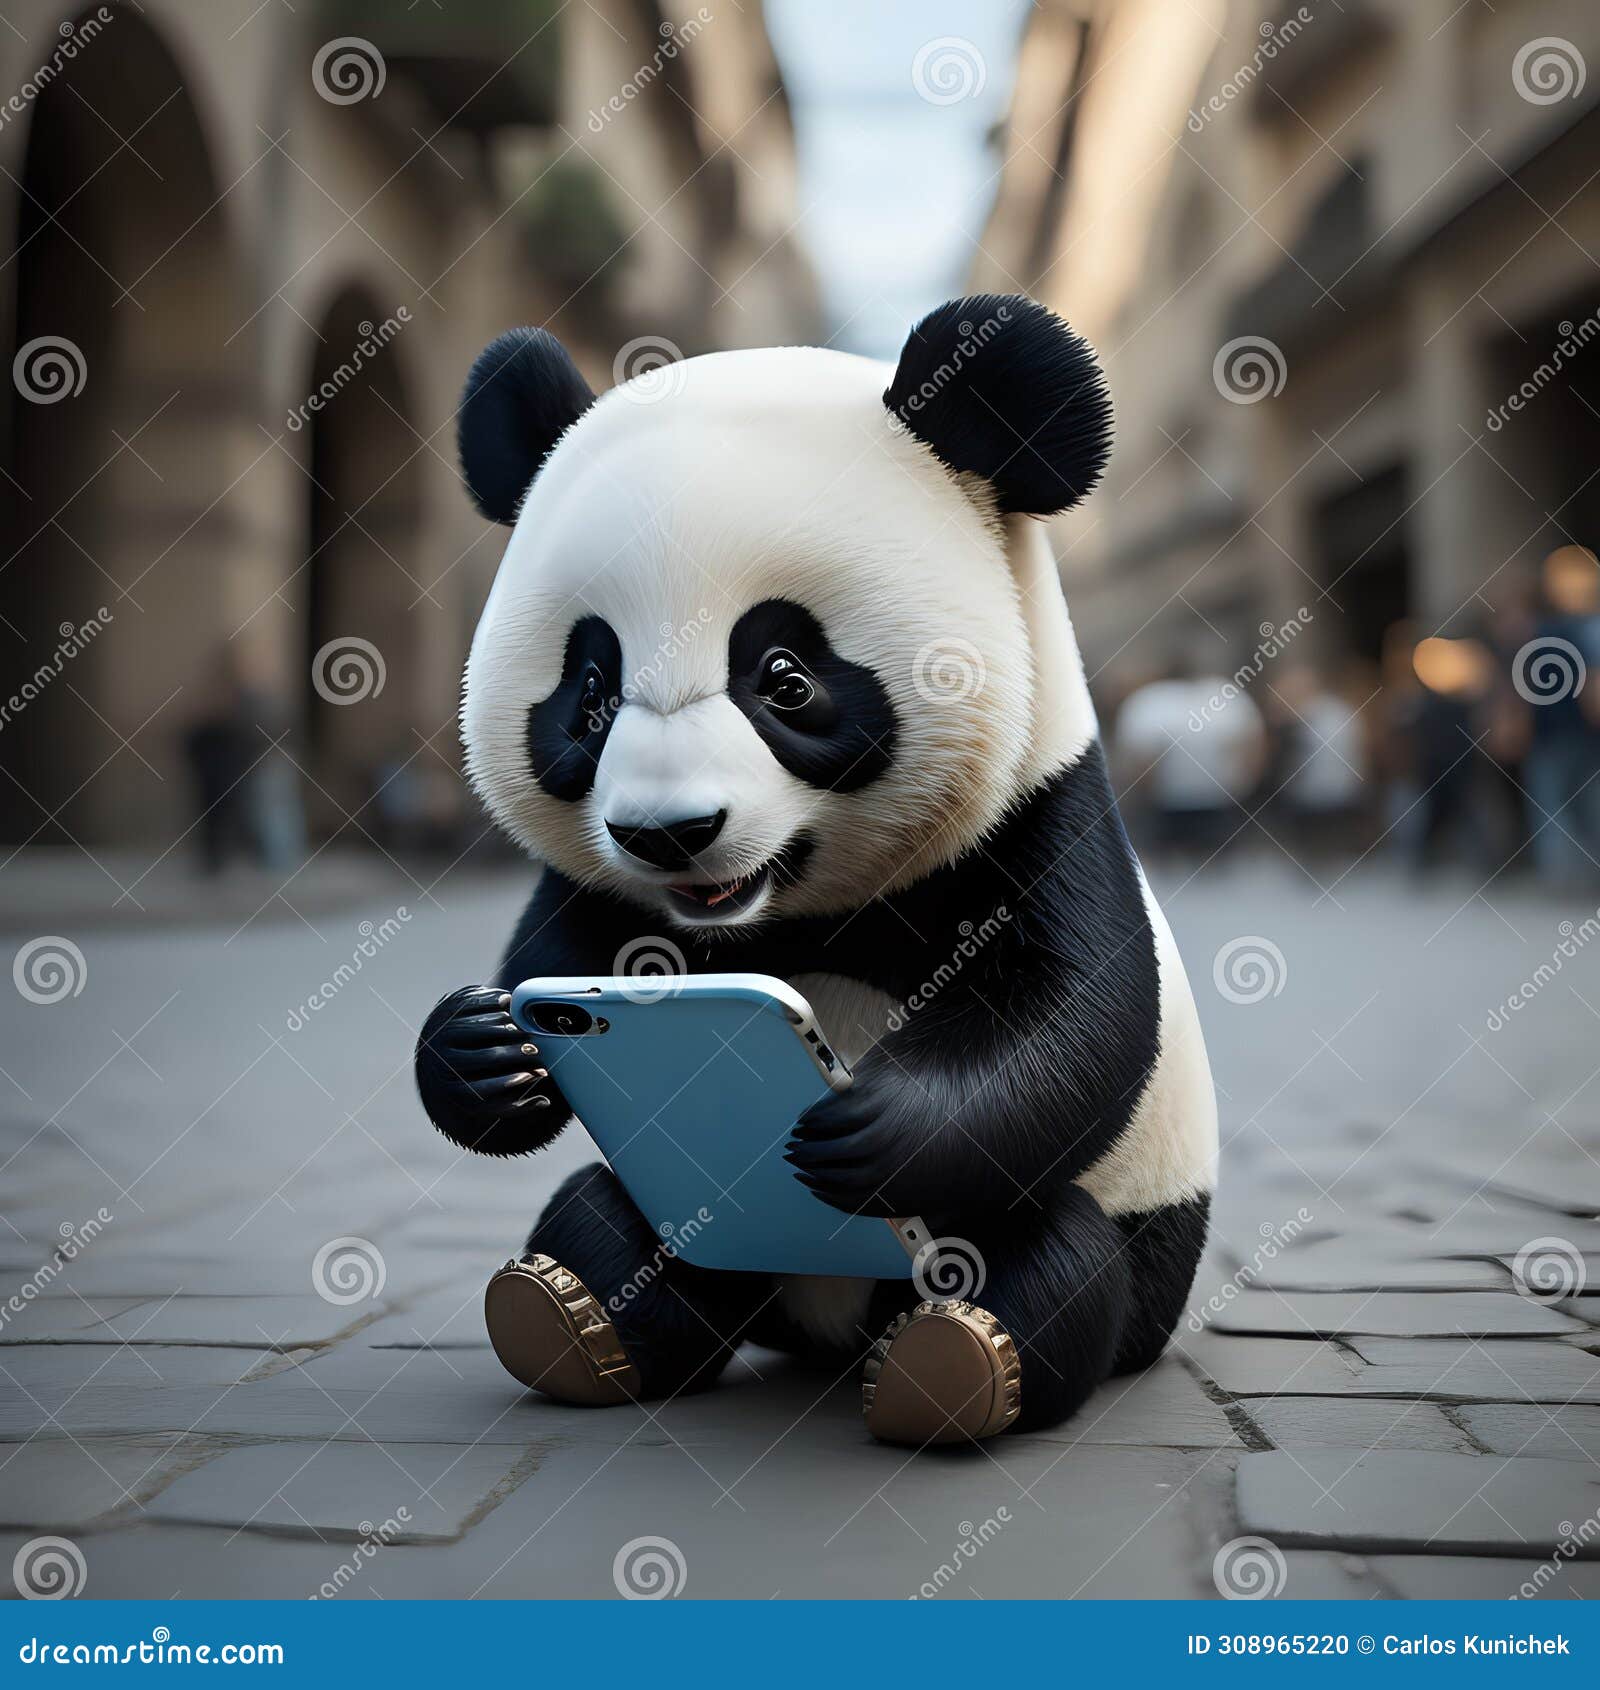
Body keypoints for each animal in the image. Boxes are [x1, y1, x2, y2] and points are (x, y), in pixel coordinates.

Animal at [415, 294, 1218, 1446]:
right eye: (592, 693)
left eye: (783, 677)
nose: (670, 832)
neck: (791, 910)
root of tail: (826, 1323)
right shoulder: (606, 891)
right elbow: (547, 964)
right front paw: (483, 1047)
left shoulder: (1040, 813)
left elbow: (1075, 1019)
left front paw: (874, 1127)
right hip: (699, 1228)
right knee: (605, 1218)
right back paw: (572, 1316)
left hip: (1136, 1224)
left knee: (1055, 1257)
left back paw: (959, 1358)